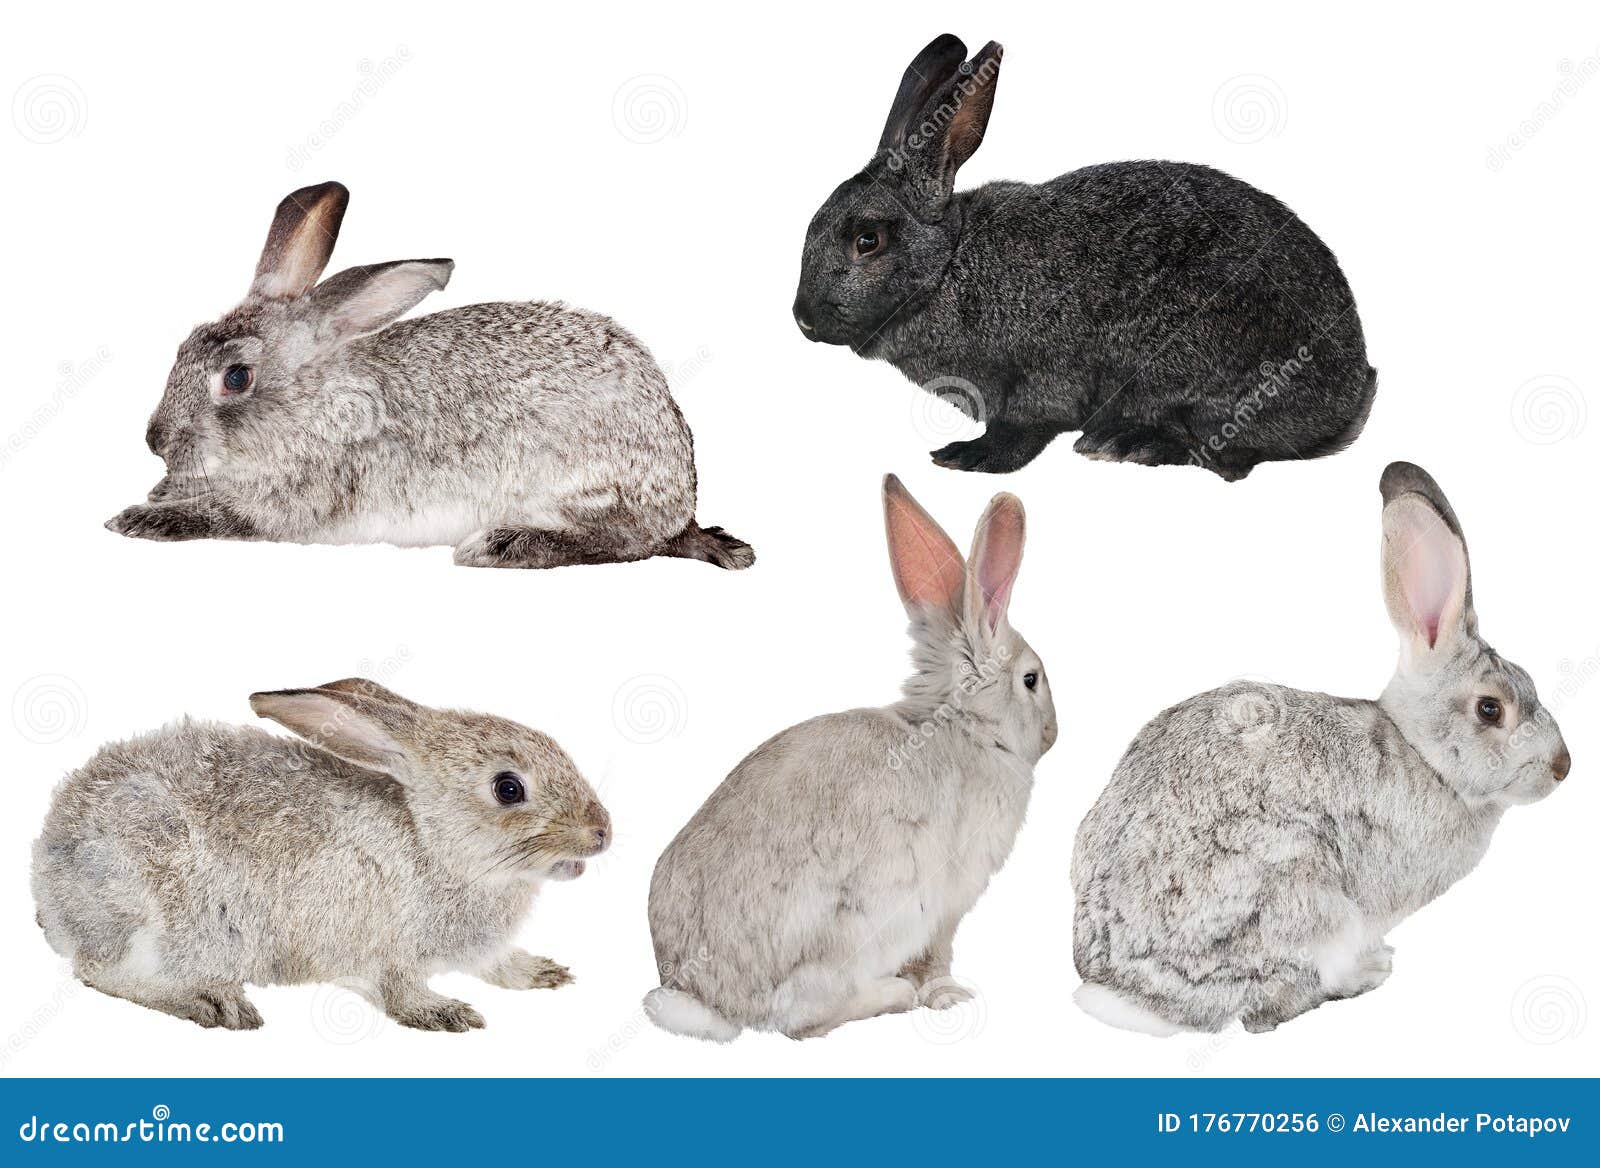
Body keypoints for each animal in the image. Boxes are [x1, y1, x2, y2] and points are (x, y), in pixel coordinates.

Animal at [31, 678, 611, 1032]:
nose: (602, 832)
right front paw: (443, 1013)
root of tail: (45, 880)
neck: (433, 839)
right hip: (151, 909)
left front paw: (541, 973)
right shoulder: (380, 948)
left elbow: (496, 963)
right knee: (101, 973)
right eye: (508, 789)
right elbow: (398, 989)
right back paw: (211, 1001)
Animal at [107, 180, 754, 569]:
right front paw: (159, 490)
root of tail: (682, 497)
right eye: (185, 344)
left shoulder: (292, 502)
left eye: (237, 377)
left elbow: (221, 515)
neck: (316, 403)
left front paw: (136, 518)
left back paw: (500, 545)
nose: (154, 439)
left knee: (624, 542)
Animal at [644, 474, 1056, 1041]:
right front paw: (949, 995)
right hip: (865, 920)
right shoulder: (946, 903)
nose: (1054, 733)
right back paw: (891, 995)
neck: (962, 726)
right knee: (801, 1017)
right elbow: (937, 958)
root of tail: (709, 1000)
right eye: (1031, 680)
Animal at [793, 34, 1375, 481]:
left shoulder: (1041, 381)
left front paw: (963, 457)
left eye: (868, 240)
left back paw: (1127, 444)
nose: (802, 318)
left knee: (1228, 458)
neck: (948, 266)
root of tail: (1352, 394)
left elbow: (1018, 436)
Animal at [1071, 462, 1571, 1035]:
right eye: (1490, 709)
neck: (1423, 755)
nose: (1563, 766)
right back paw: (1366, 974)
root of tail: (1127, 993)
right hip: (1302, 900)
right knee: (1268, 1007)